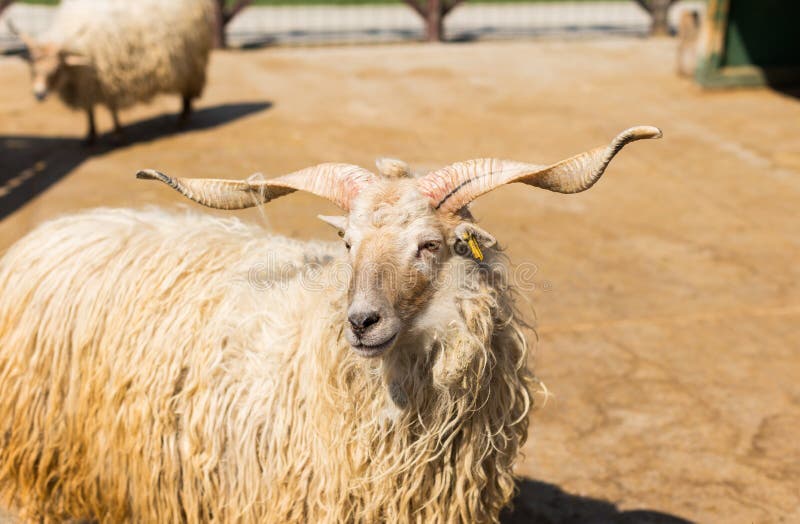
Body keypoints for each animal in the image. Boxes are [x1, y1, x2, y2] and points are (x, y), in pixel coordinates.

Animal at [8, 0, 215, 144]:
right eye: (33, 69)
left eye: (55, 70)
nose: (39, 94)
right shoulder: (87, 85)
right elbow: (89, 110)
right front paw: (90, 135)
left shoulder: (109, 78)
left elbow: (112, 108)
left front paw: (117, 133)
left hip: (193, 63)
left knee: (187, 94)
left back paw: (183, 118)